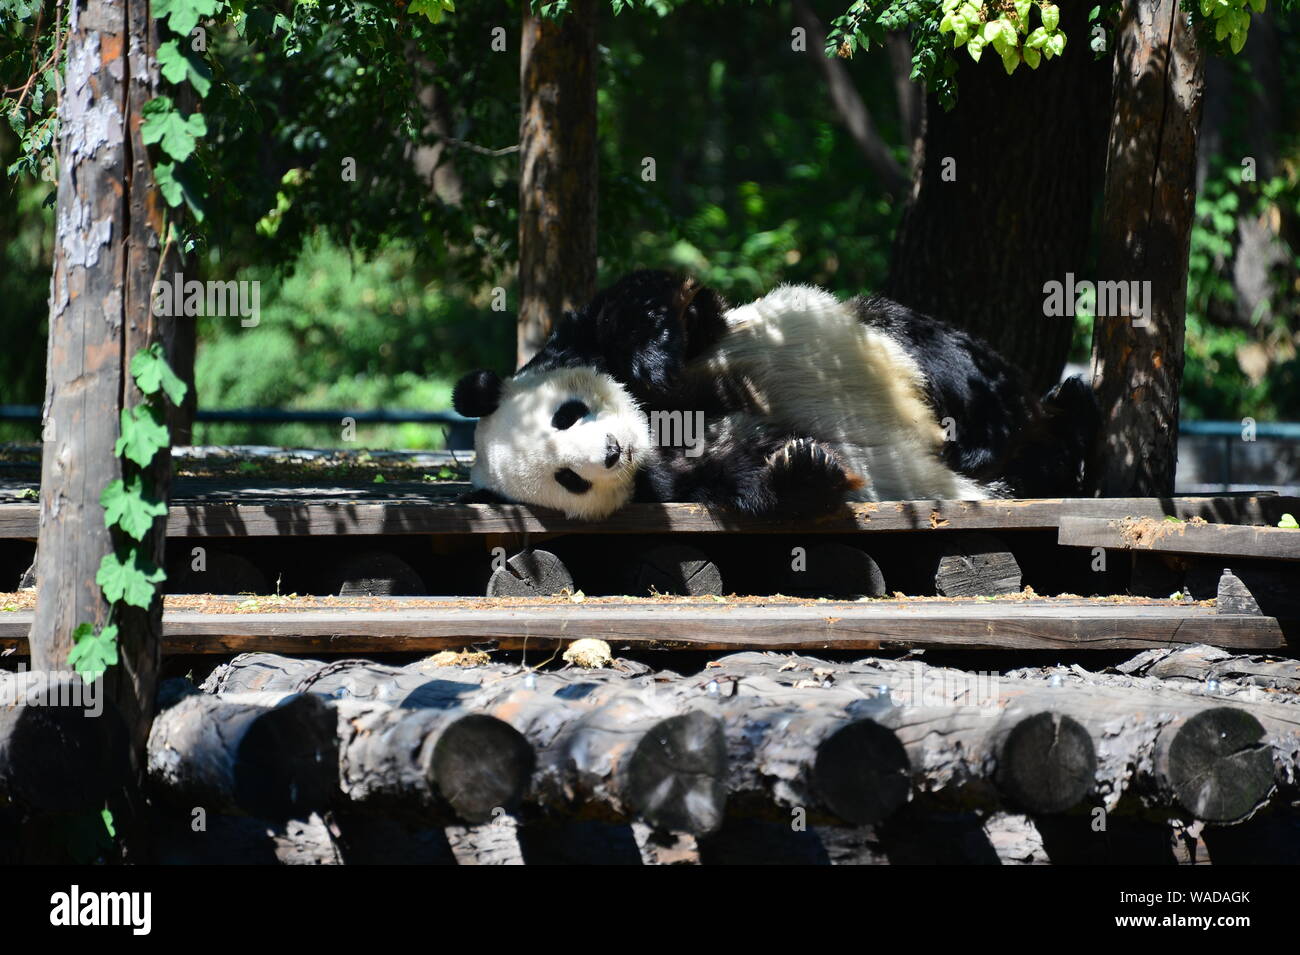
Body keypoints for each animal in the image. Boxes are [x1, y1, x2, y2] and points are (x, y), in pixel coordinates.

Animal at [452, 270, 1098, 519]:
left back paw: (1019, 426)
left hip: (882, 348)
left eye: (566, 415)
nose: (612, 453)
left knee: (939, 354)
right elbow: (744, 480)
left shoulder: (580, 340)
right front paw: (805, 468)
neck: (657, 427)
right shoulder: (671, 484)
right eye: (569, 479)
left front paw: (652, 361)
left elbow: (653, 304)